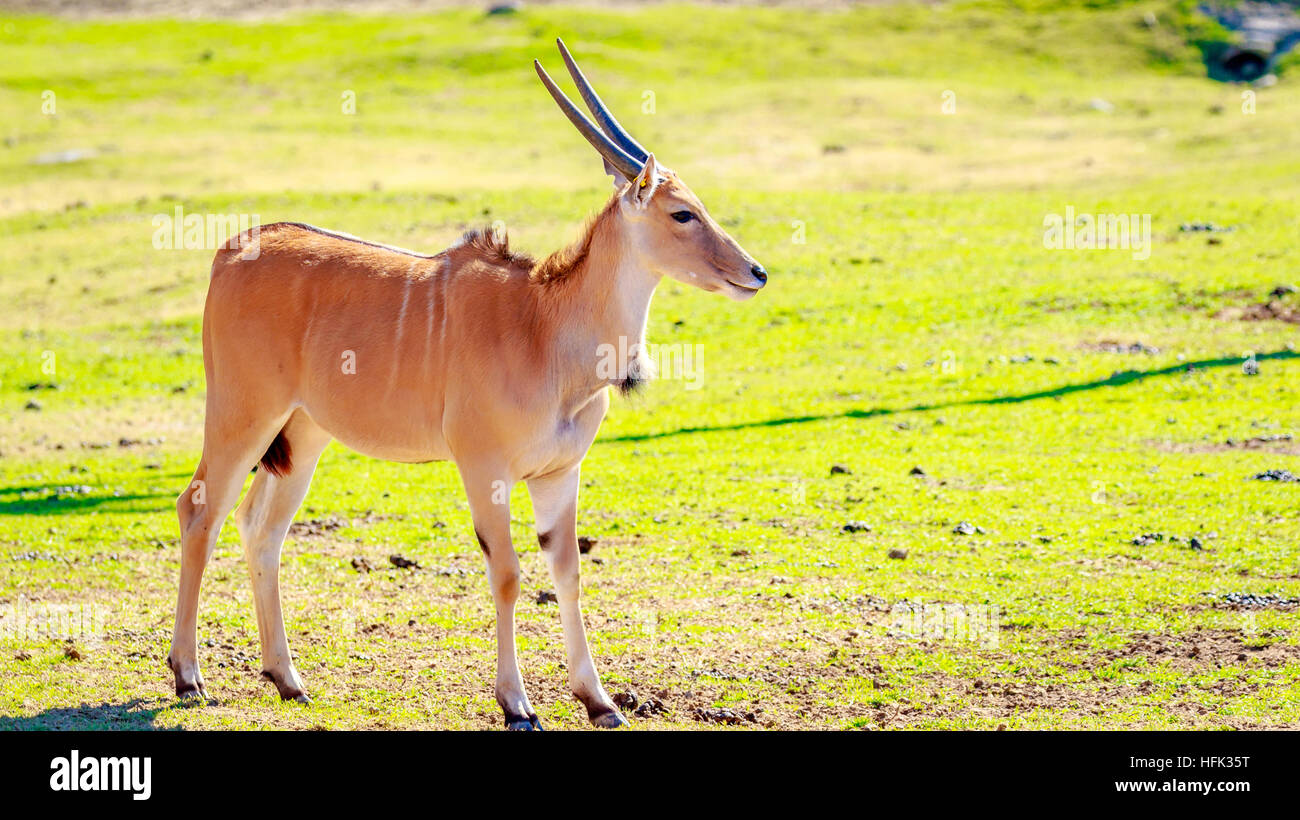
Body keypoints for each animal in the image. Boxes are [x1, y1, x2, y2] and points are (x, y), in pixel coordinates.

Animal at [167, 40, 768, 730]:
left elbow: (567, 572)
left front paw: (599, 700)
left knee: (259, 528)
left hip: (302, 438)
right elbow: (507, 573)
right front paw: (517, 703)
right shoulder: (485, 468)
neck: (542, 324)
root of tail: (231, 250)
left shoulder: (559, 473)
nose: (755, 271)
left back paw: (287, 678)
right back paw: (188, 676)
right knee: (200, 509)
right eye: (682, 213)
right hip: (242, 416)